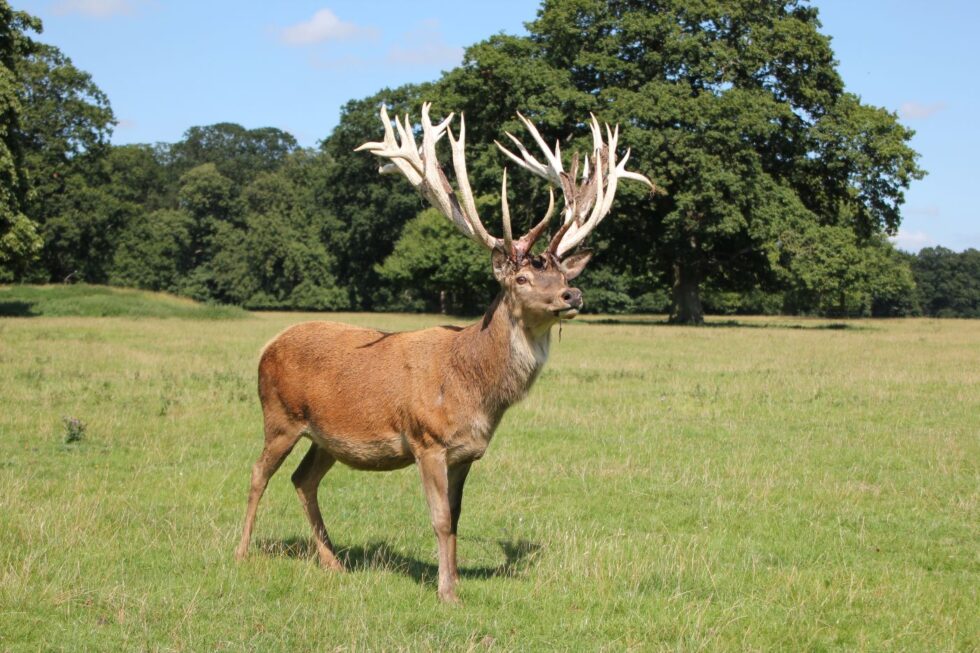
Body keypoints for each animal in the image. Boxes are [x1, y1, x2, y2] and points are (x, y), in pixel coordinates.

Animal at [234, 102, 654, 603]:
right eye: (522, 278)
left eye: (562, 274)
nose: (573, 294)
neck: (472, 388)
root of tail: (267, 346)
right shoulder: (427, 440)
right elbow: (437, 519)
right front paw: (445, 592)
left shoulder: (467, 452)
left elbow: (455, 519)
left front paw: (454, 583)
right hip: (278, 415)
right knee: (258, 473)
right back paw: (240, 551)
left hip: (325, 437)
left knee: (303, 479)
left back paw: (334, 562)